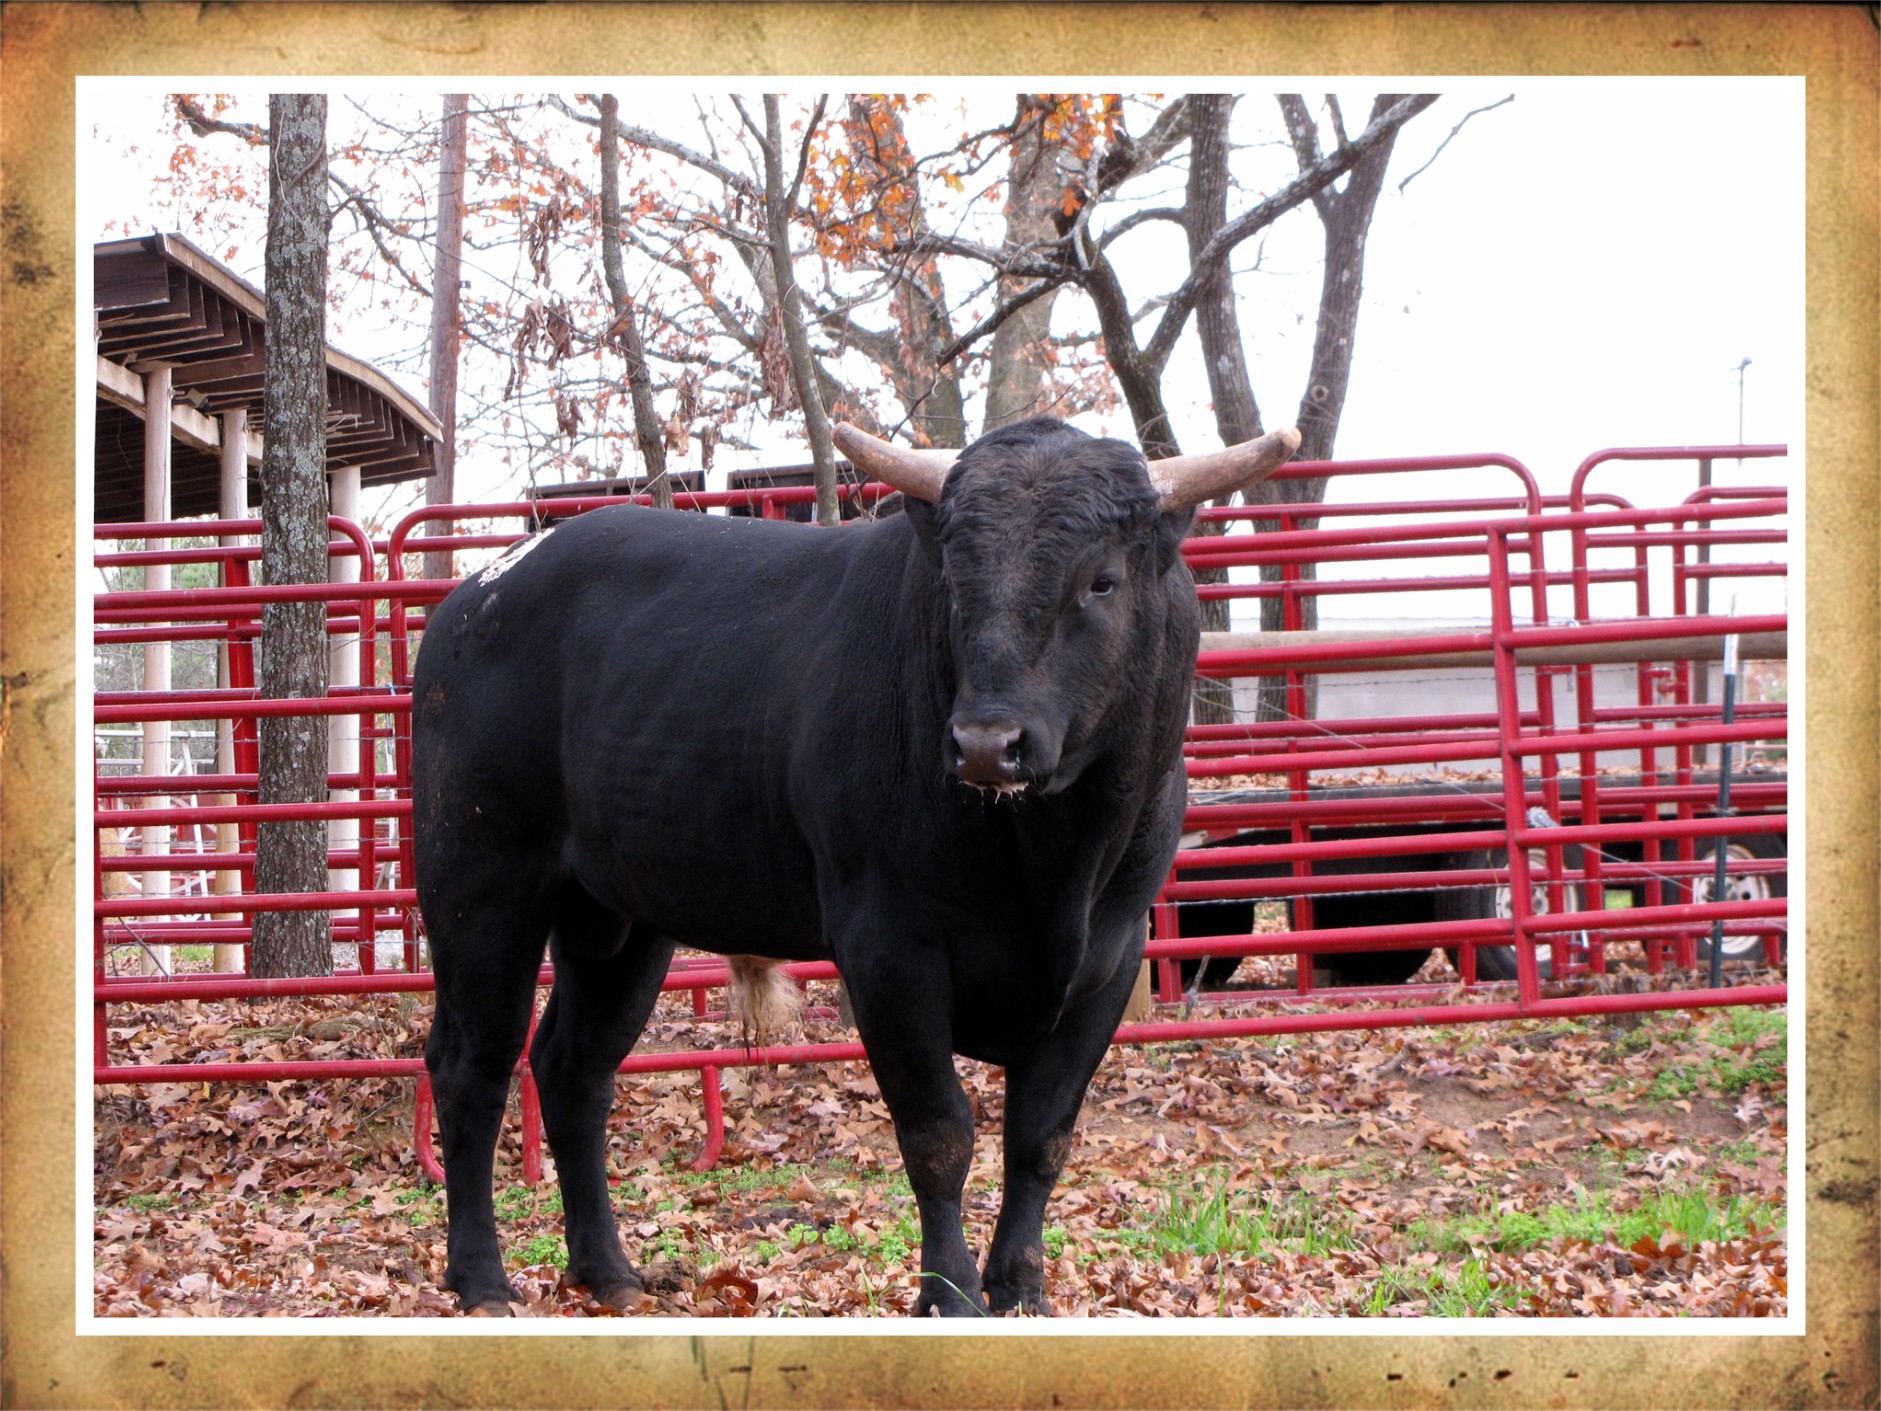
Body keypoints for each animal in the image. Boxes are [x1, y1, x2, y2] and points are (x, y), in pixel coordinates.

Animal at [411, 414, 1300, 1316]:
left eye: (1103, 581)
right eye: (954, 581)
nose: (987, 742)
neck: (1051, 863)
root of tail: (480, 593)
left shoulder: (1109, 961)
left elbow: (1041, 1136)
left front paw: (1020, 1287)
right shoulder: (889, 949)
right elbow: (939, 1131)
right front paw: (949, 1293)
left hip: (617, 918)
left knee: (575, 1067)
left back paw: (610, 1272)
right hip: (479, 883)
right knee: (472, 1064)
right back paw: (481, 1278)